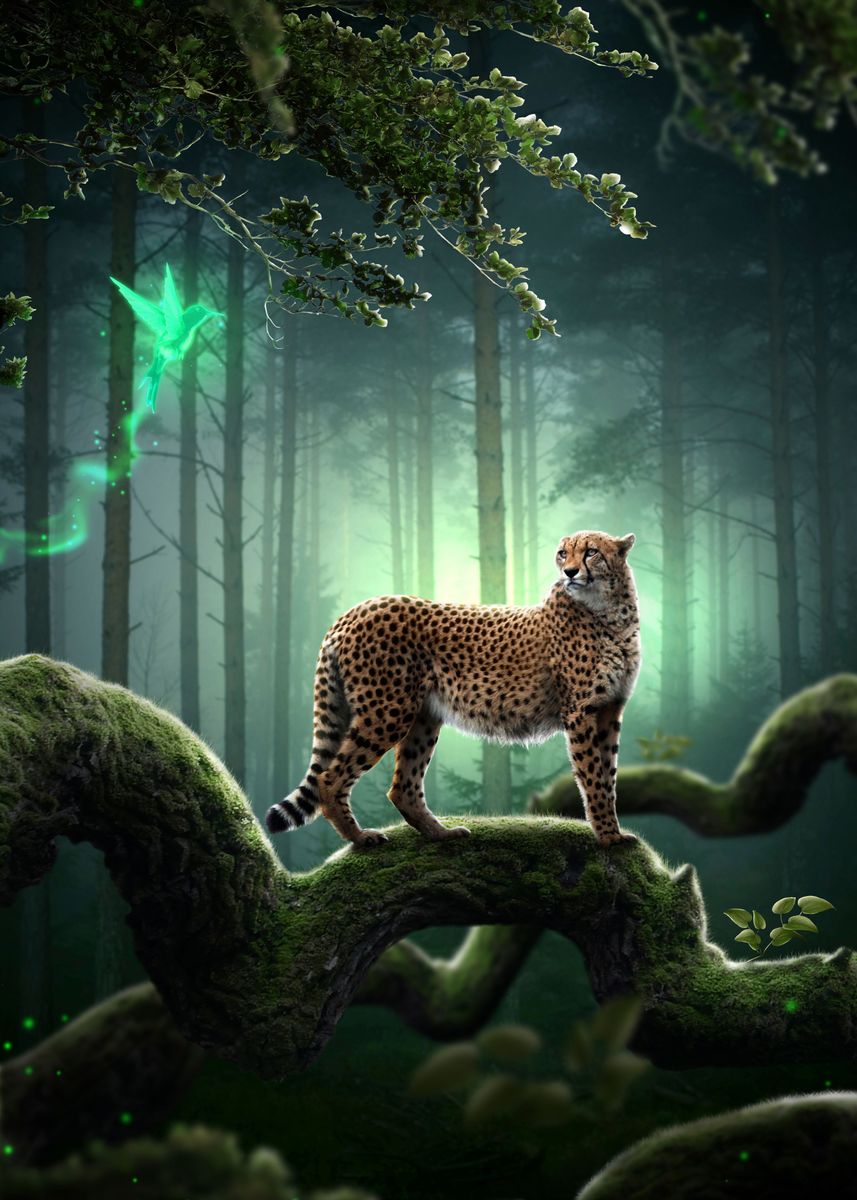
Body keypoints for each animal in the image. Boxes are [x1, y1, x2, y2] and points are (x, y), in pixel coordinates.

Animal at [265, 530, 641, 849]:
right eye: (563, 553)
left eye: (591, 552)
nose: (570, 571)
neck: (610, 614)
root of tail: (356, 609)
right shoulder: (581, 712)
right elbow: (593, 777)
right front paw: (608, 838)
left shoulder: (610, 710)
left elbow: (608, 776)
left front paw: (614, 831)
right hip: (387, 713)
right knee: (329, 779)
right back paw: (361, 838)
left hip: (423, 716)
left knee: (402, 787)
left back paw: (440, 834)